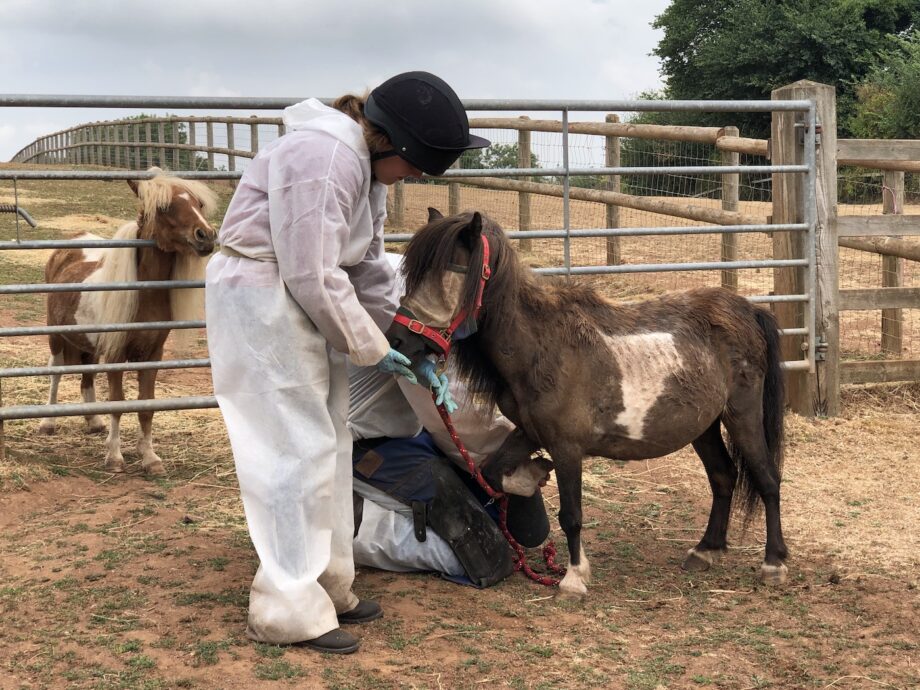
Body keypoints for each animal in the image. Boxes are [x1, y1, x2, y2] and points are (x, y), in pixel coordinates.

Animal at [37, 169, 218, 476]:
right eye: (164, 206)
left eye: (199, 204)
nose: (206, 235)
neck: (144, 295)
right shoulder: (116, 354)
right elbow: (118, 404)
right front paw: (114, 457)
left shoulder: (153, 354)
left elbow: (146, 406)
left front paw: (150, 458)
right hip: (56, 337)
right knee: (56, 373)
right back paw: (48, 422)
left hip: (89, 345)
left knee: (87, 377)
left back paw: (93, 422)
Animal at [385, 208, 788, 597]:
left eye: (447, 274)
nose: (397, 340)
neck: (540, 347)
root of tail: (748, 310)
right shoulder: (530, 431)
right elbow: (492, 471)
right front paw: (528, 477)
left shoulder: (566, 446)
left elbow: (571, 515)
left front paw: (574, 578)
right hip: (703, 425)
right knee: (723, 476)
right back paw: (706, 550)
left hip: (742, 414)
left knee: (767, 479)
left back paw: (773, 563)